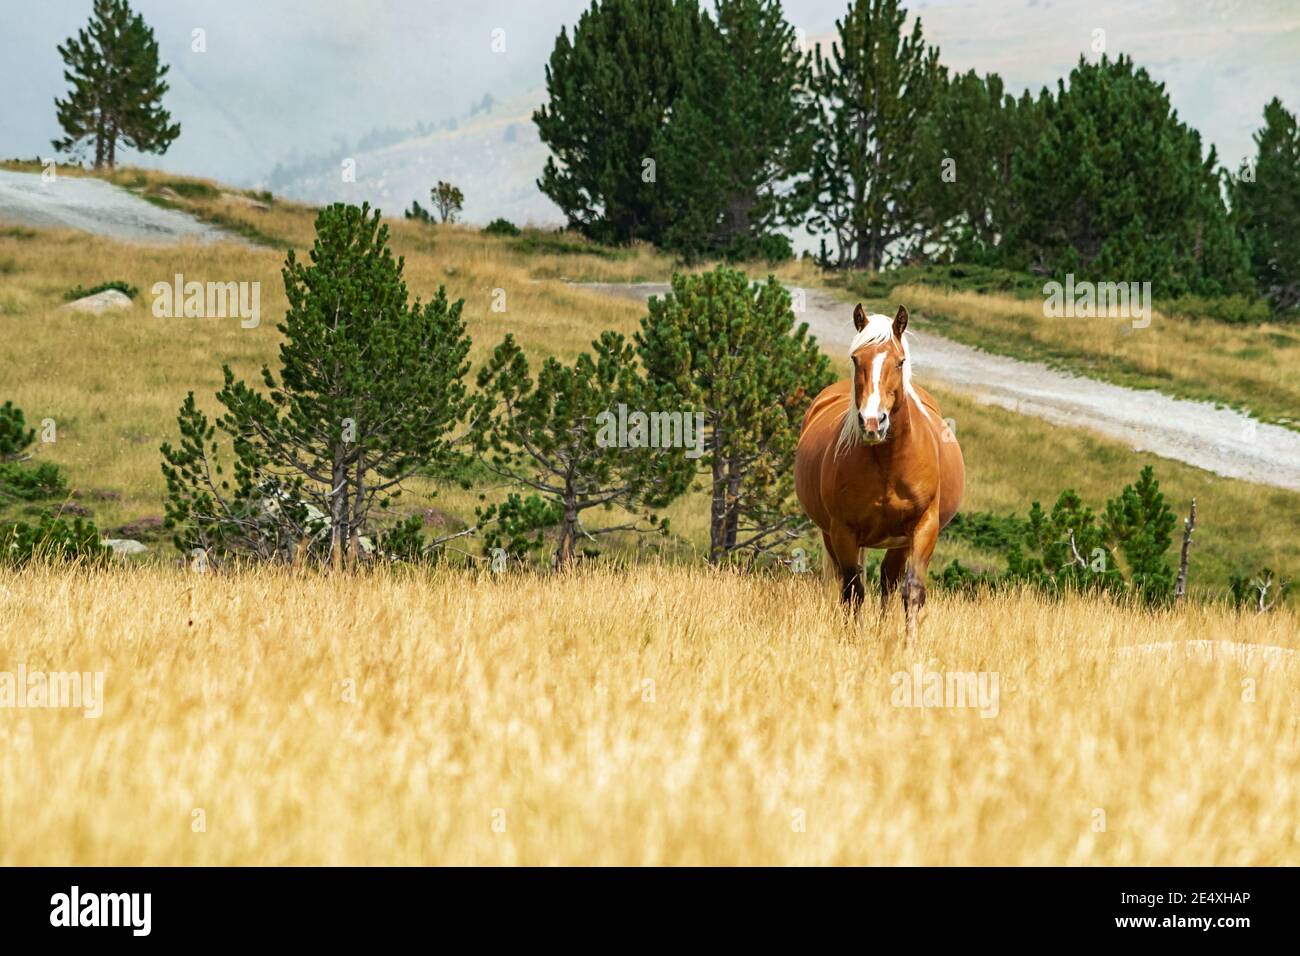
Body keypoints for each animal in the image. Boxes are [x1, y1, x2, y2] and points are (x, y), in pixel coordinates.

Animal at [795, 304, 964, 641]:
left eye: (900, 361)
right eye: (855, 359)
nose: (873, 422)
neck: (888, 462)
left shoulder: (923, 526)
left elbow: (912, 589)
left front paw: (909, 643)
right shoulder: (843, 531)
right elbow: (853, 591)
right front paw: (852, 639)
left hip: (898, 542)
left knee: (888, 580)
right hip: (833, 535)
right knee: (847, 583)